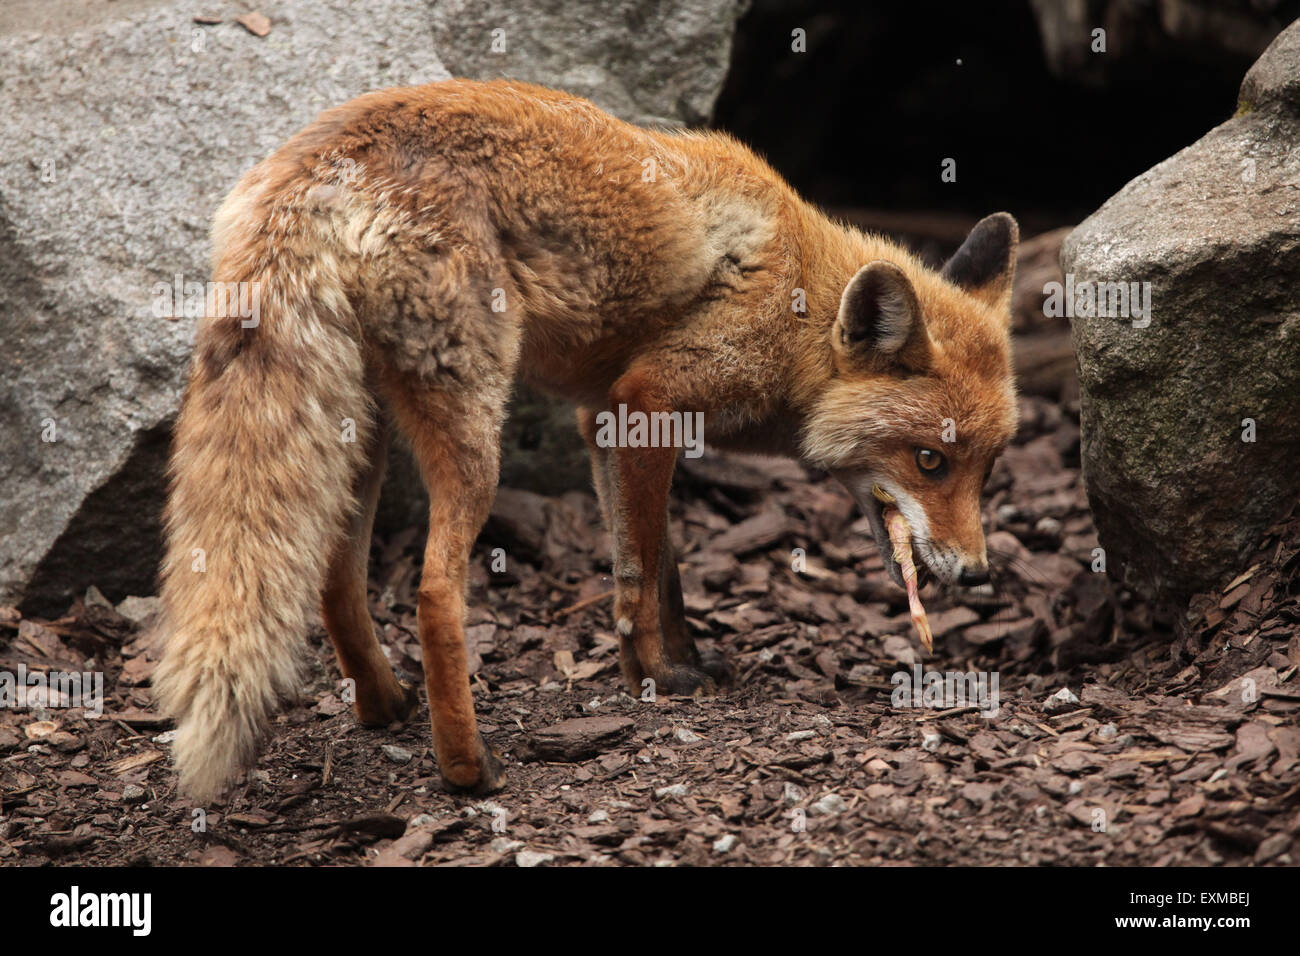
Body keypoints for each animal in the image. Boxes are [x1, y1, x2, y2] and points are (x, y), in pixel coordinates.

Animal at [151, 78, 1019, 802]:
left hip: (356, 426)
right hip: (473, 428)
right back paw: (466, 768)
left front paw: (679, 662)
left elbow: (659, 568)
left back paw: (382, 705)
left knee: (334, 575)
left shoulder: (604, 420)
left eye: (988, 468)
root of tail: (321, 161)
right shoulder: (650, 402)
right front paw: (658, 677)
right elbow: (638, 575)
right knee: (433, 593)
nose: (978, 575)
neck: (799, 295)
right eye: (930, 460)